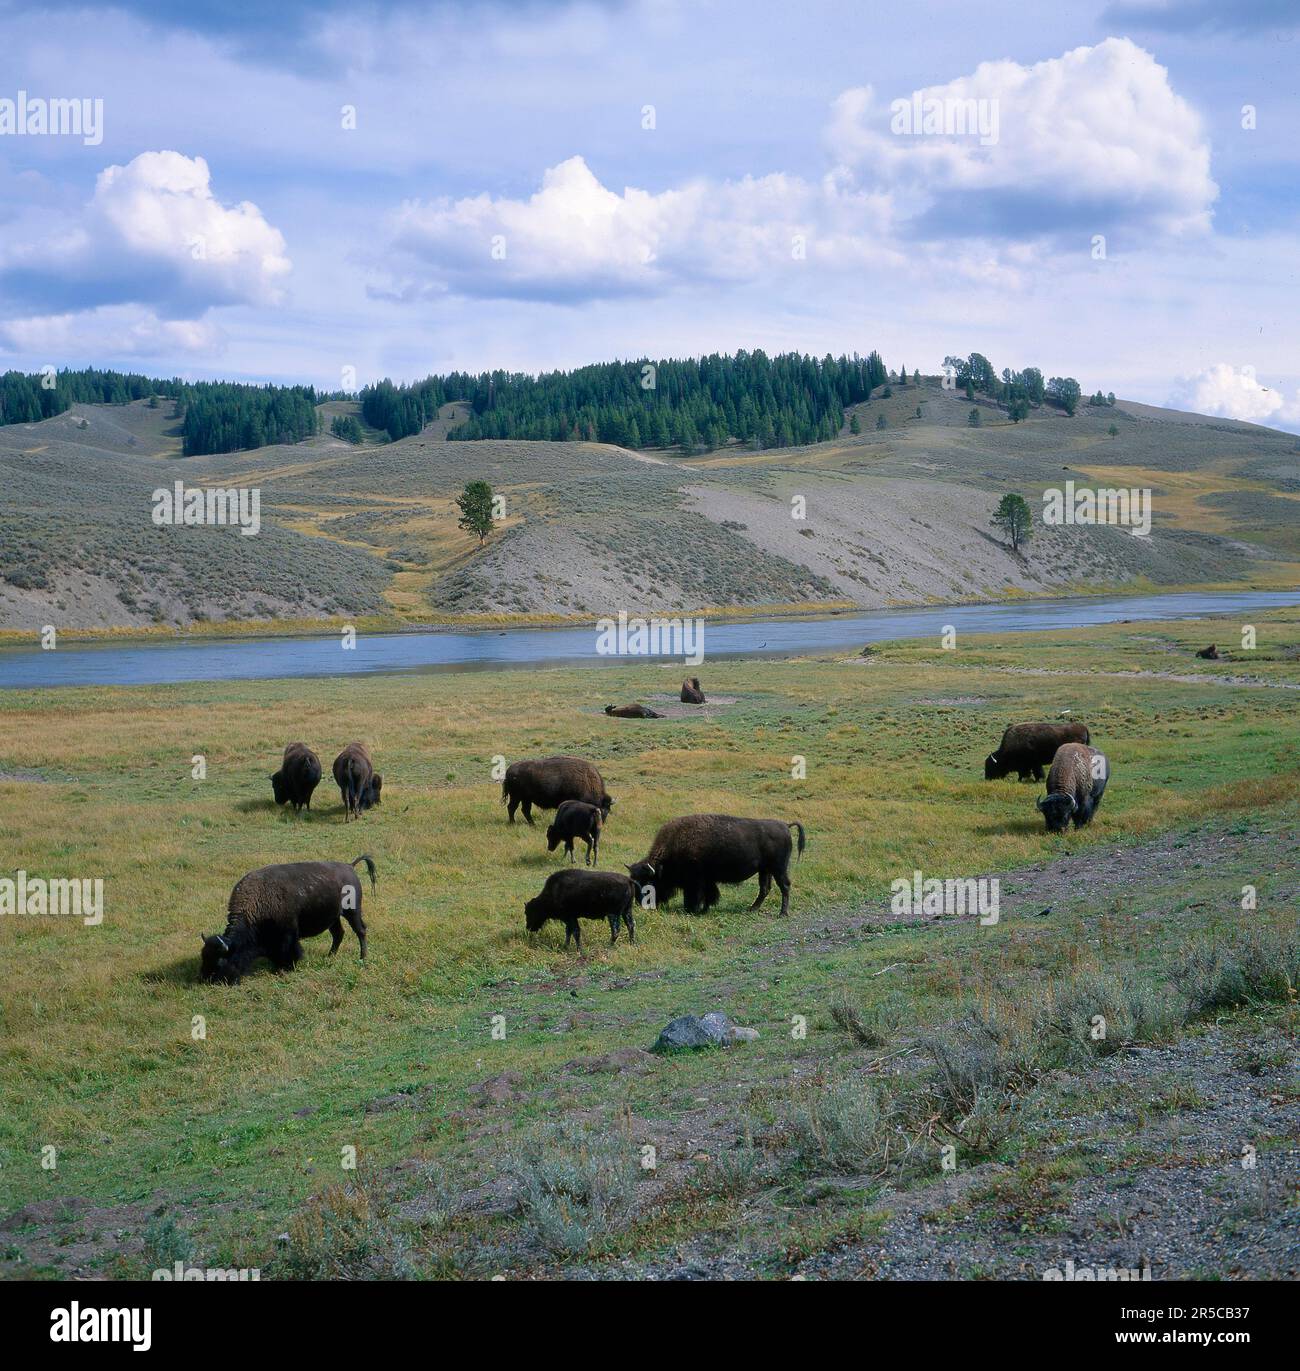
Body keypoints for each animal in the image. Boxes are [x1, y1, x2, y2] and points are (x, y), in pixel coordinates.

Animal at [200, 855, 375, 983]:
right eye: (203, 955)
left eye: (220, 961)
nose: (205, 979)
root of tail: (349, 866)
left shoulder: (288, 934)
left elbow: (290, 950)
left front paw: (285, 968)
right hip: (334, 917)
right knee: (338, 934)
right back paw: (330, 956)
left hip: (352, 912)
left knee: (360, 931)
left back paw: (362, 957)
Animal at [627, 814, 806, 917]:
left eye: (648, 883)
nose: (641, 904)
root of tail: (785, 825)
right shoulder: (707, 880)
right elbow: (710, 895)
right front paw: (704, 909)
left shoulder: (695, 882)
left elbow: (695, 896)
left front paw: (692, 910)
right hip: (765, 870)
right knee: (765, 888)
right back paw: (752, 909)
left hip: (778, 869)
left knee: (784, 886)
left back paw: (782, 913)